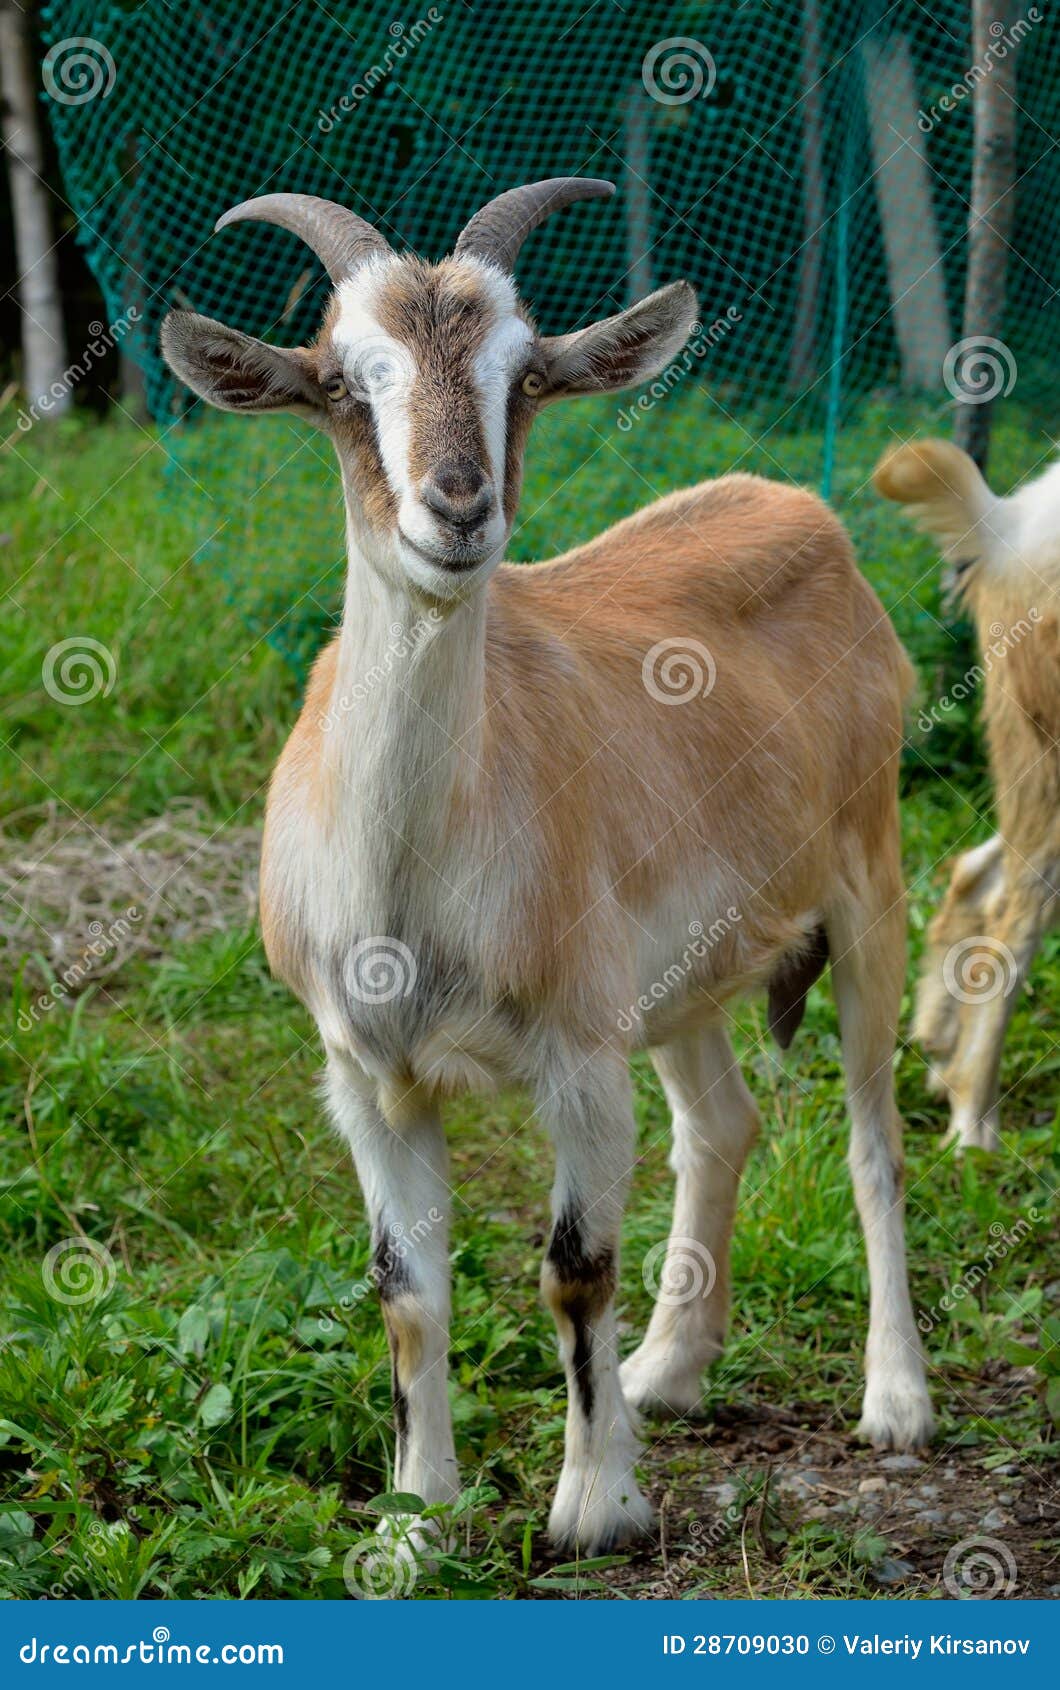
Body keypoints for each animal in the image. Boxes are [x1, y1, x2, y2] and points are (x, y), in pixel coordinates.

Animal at [162, 179, 933, 1558]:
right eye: (342, 381)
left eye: (526, 374)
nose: (459, 507)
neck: (414, 886)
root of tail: (800, 510)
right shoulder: (369, 1074)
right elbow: (405, 1289)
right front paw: (411, 1521)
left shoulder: (576, 1053)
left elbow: (575, 1266)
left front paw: (596, 1506)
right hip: (676, 977)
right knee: (721, 1122)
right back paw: (667, 1370)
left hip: (866, 883)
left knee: (872, 1139)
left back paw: (894, 1400)